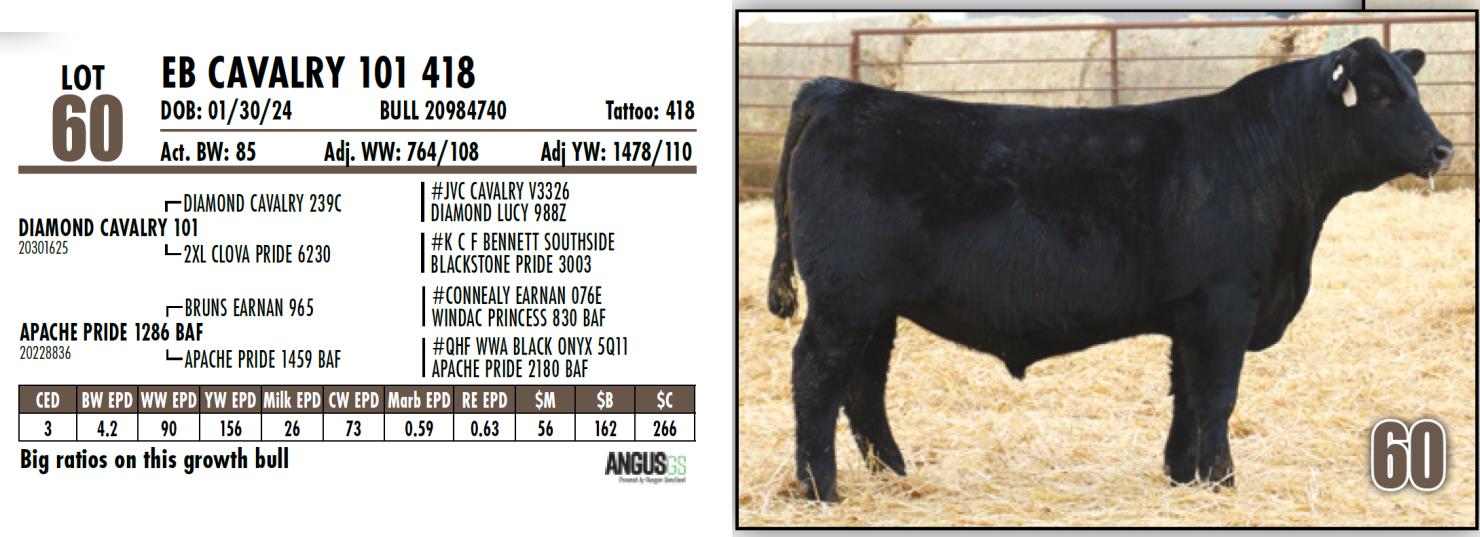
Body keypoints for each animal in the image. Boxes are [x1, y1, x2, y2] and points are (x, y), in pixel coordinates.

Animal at [766, 37, 1453, 502]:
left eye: (1414, 88)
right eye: (1381, 94)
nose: (1443, 148)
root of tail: (839, 91)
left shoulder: (1190, 315)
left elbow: (1185, 396)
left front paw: (1182, 476)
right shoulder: (1224, 306)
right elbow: (1217, 396)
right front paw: (1223, 481)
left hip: (877, 307)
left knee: (863, 386)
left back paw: (894, 475)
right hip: (846, 299)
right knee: (817, 377)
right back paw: (821, 487)